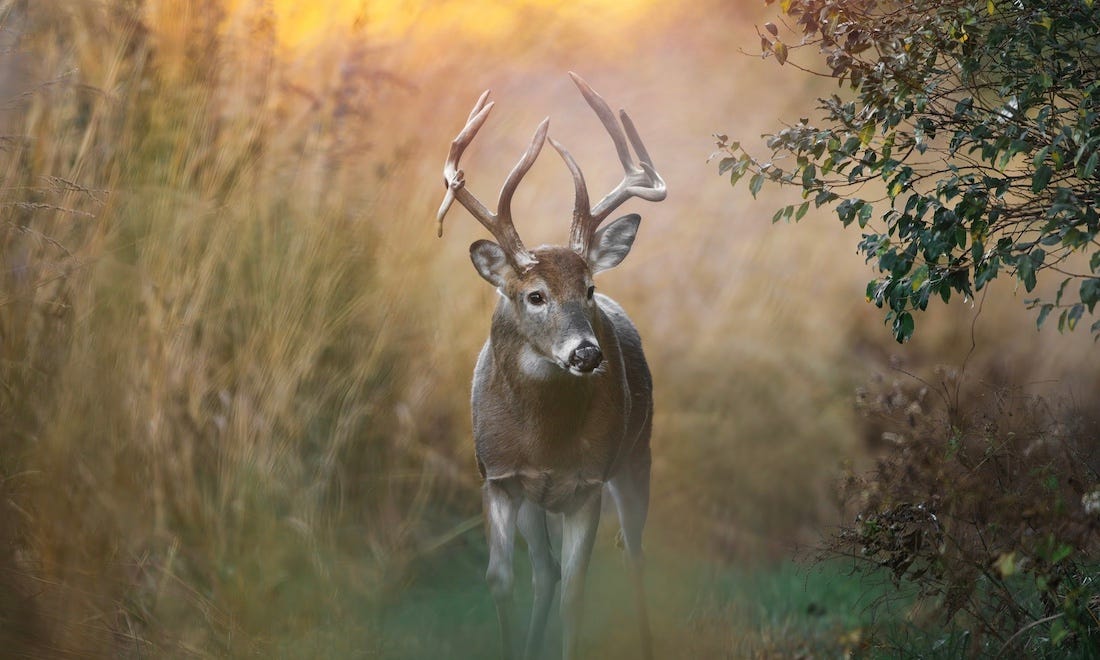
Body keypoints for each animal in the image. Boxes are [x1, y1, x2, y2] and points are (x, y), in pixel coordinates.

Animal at [435, 72, 666, 660]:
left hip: (638, 455)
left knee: (634, 554)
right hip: (538, 503)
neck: (544, 441)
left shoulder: (587, 483)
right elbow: (503, 579)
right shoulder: (497, 476)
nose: (587, 353)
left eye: (589, 289)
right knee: (545, 572)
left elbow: (576, 593)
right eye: (534, 295)